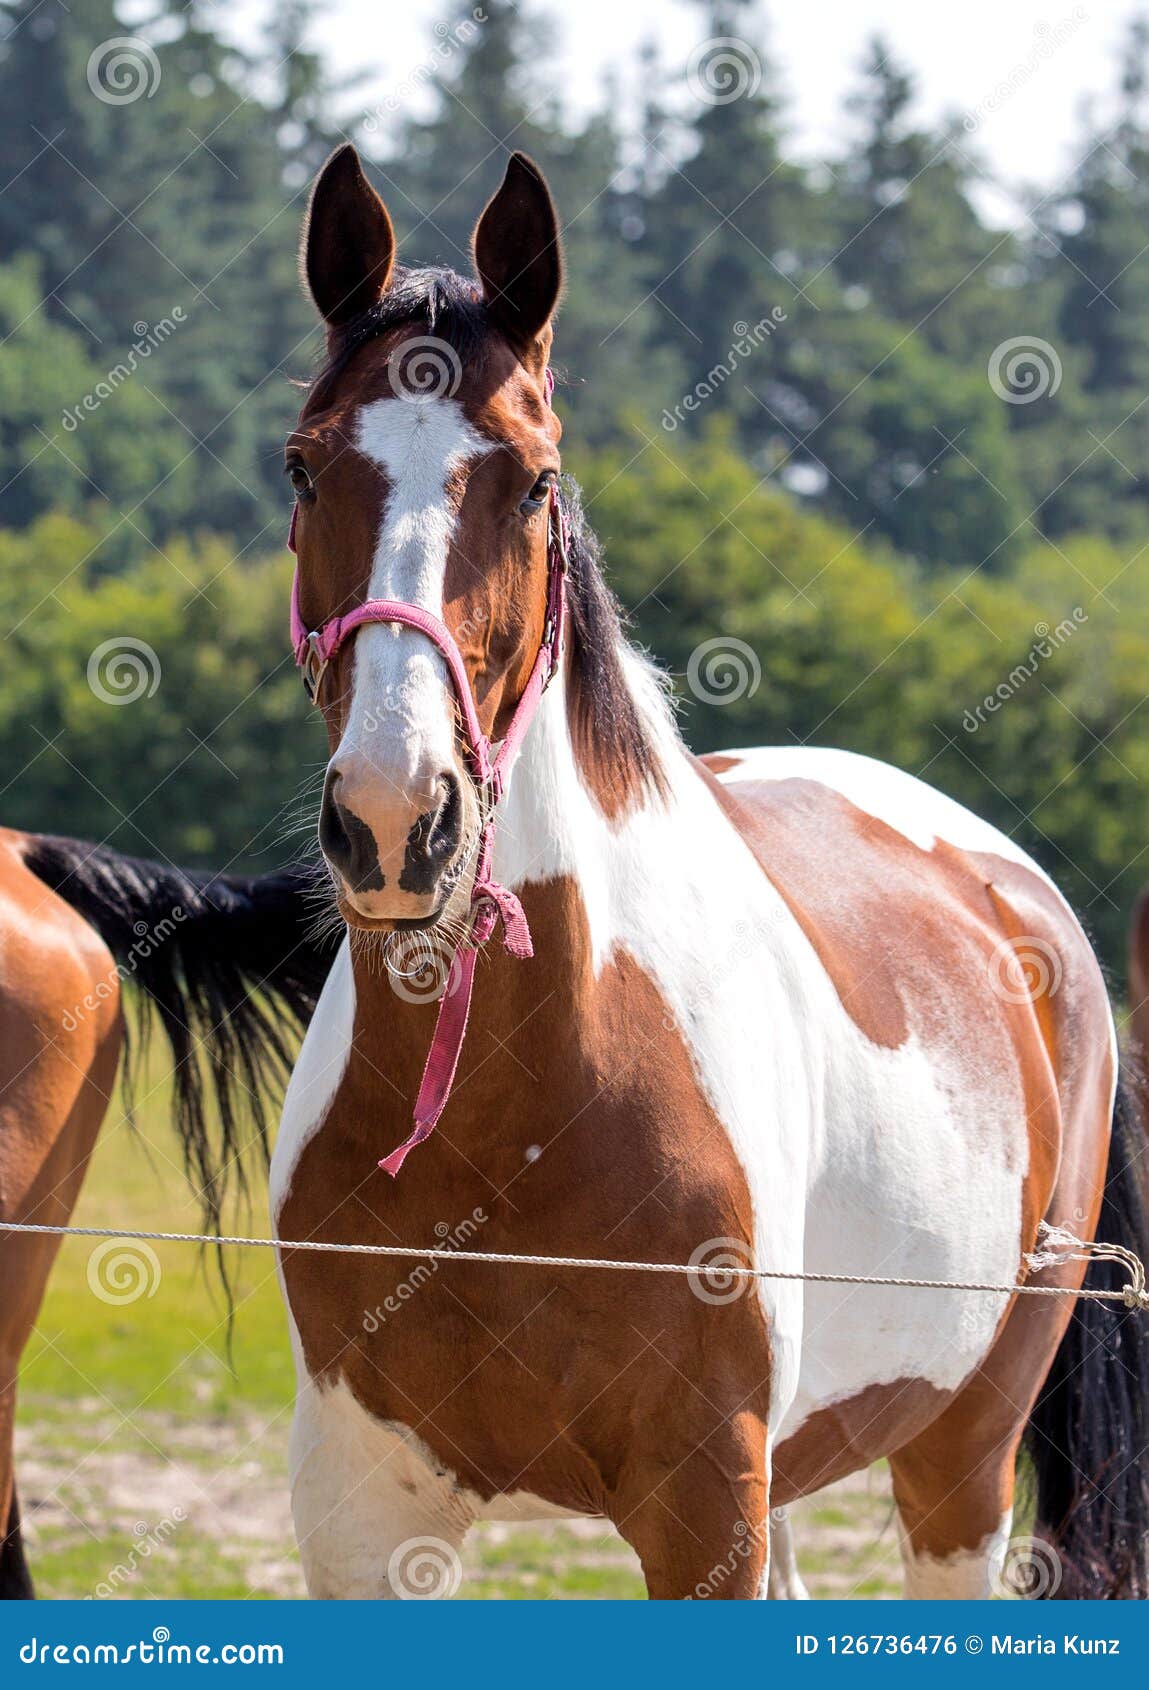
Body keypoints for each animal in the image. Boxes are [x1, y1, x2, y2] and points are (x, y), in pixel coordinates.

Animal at [271, 144, 1149, 1601]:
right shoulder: (363, 1506)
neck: (518, 1097)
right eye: (302, 468)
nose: (398, 819)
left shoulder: (701, 1502)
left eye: (532, 480)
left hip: (959, 1456)